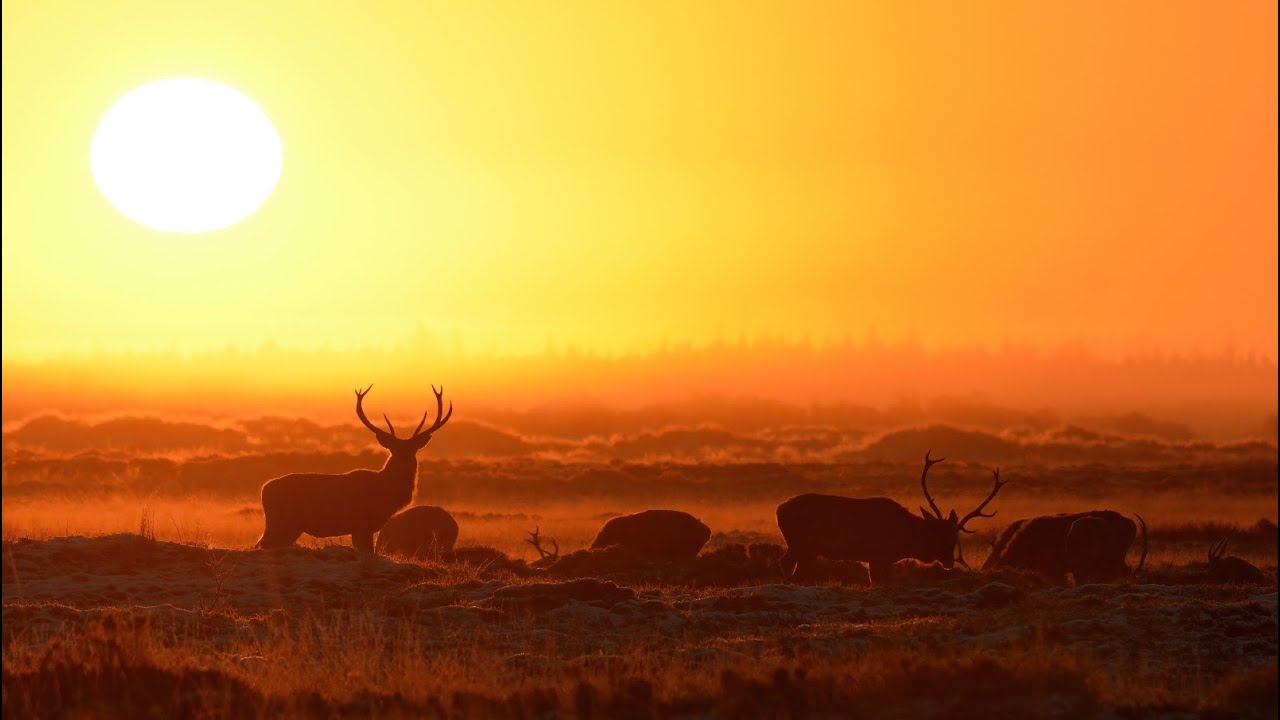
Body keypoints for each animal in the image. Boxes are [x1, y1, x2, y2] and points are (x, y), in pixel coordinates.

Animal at [254, 384, 452, 552]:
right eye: (393, 450)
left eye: (413, 450)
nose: (405, 463)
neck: (386, 494)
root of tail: (264, 489)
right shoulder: (362, 525)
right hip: (281, 522)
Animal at [777, 451, 1007, 584]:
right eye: (935, 533)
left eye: (955, 538)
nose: (949, 561)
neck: (903, 540)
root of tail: (779, 510)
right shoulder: (878, 556)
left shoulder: (882, 560)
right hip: (804, 545)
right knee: (787, 563)